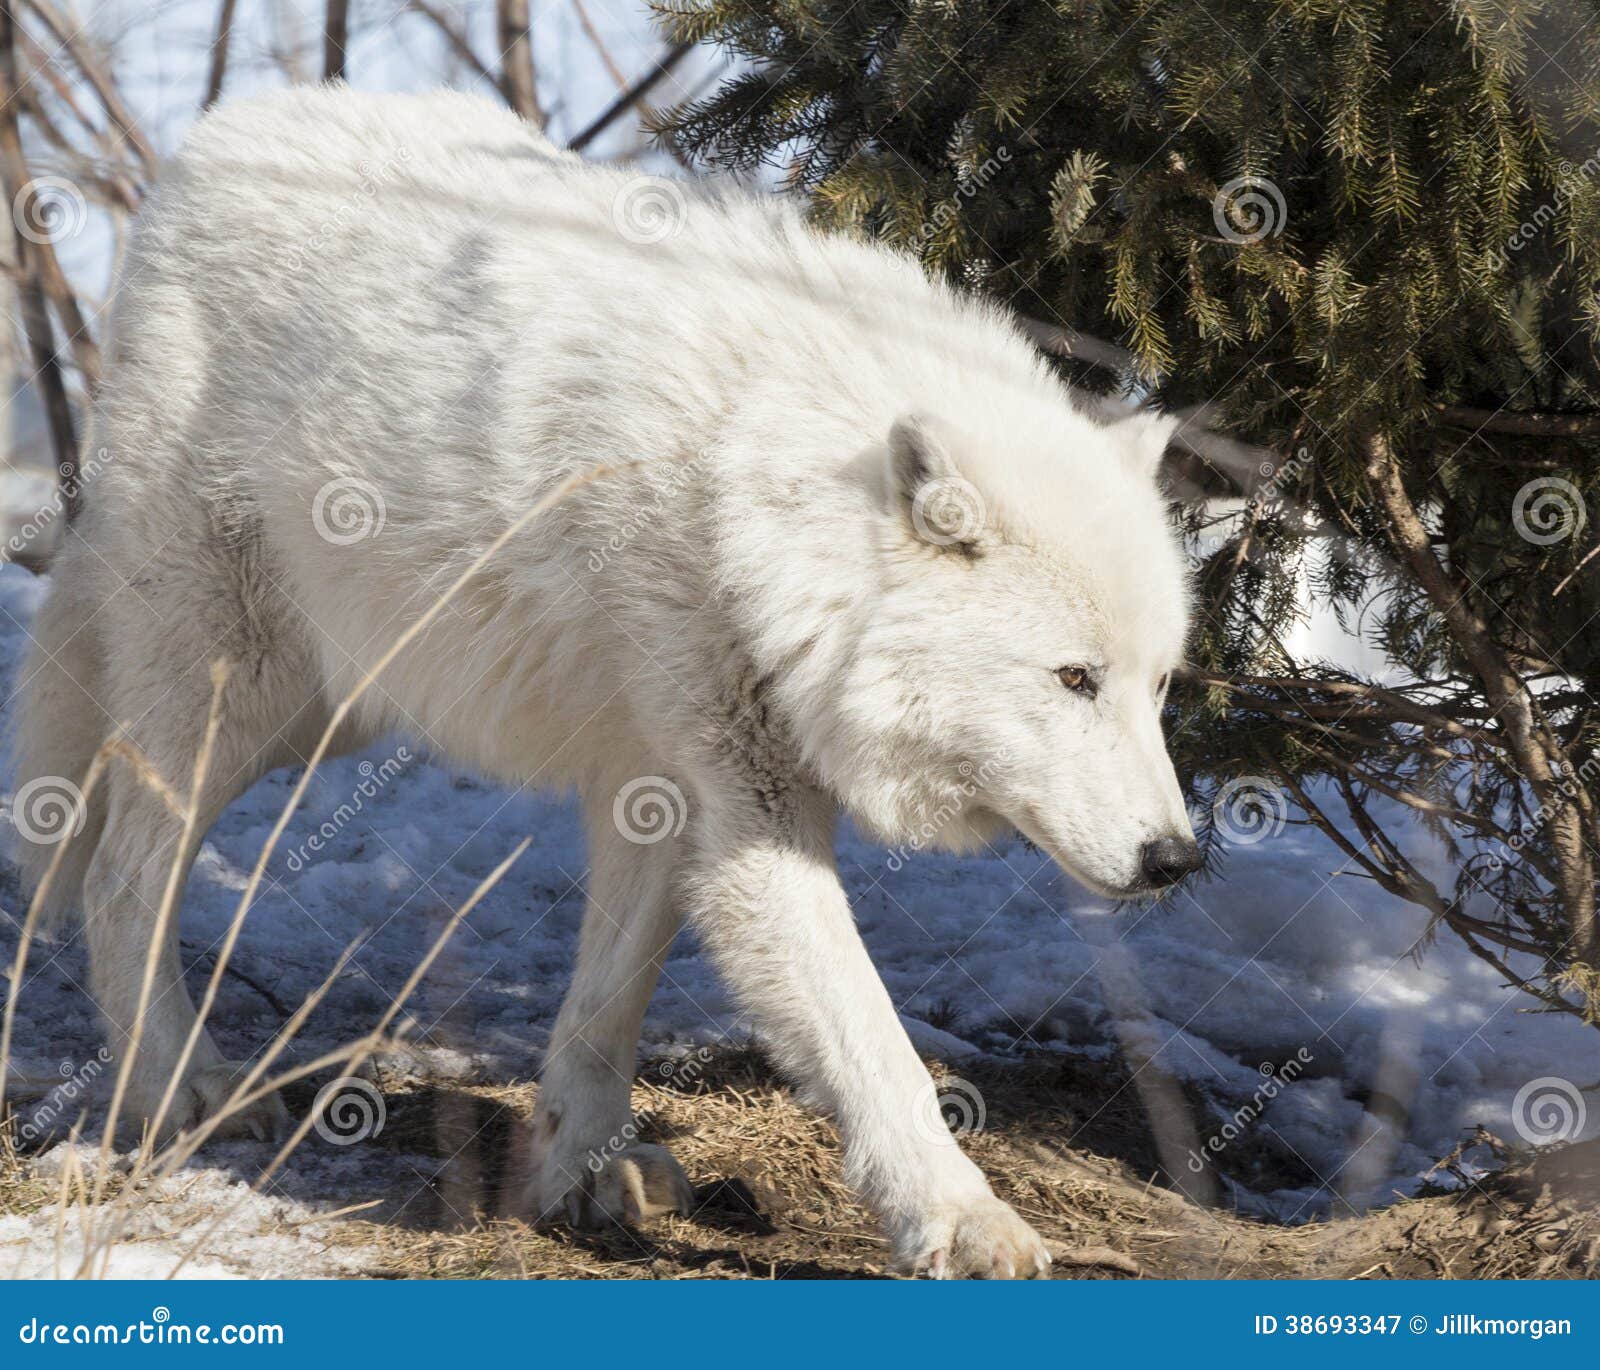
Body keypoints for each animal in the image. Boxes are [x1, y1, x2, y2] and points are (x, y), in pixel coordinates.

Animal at [11, 86, 1200, 1278]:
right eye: (1073, 677)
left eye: (1156, 687)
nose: (1177, 860)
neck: (760, 492)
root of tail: (221, 132)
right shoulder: (746, 809)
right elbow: (870, 1037)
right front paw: (961, 1216)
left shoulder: (657, 783)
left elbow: (611, 995)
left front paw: (576, 1167)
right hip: (240, 688)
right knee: (119, 871)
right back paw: (183, 1090)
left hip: (333, 704)